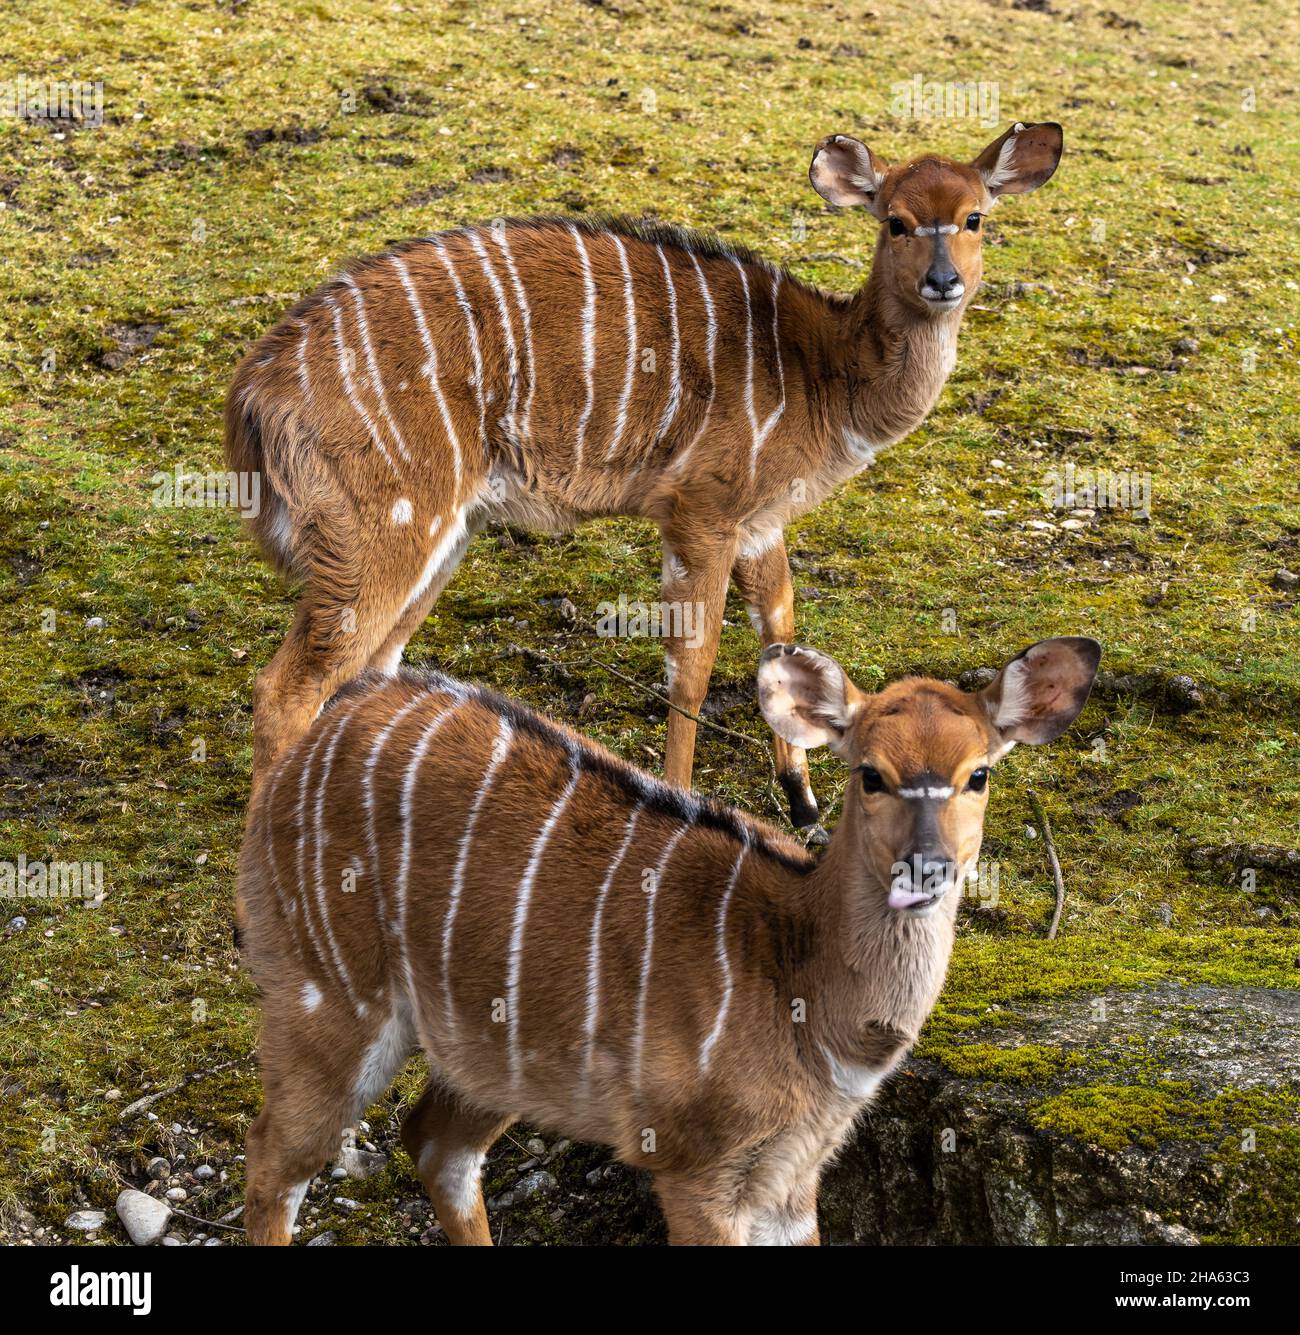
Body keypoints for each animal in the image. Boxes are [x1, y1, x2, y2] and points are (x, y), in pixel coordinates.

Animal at [225, 122, 1064, 827]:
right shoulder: (700, 510)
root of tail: (259, 387)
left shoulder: (759, 523)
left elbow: (779, 635)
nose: (943, 281)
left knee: (373, 666)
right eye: (895, 220)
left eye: (974, 217)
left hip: (441, 531)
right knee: (287, 686)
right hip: (385, 526)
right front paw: (685, 793)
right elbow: (692, 667)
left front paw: (802, 801)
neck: (823, 371)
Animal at [237, 634, 1099, 1245]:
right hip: (326, 995)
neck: (803, 988)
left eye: (979, 772)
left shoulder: (793, 1176)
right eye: (871, 773)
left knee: (434, 1146)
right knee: (273, 1159)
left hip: (489, 1053)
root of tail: (329, 723)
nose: (928, 865)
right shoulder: (693, 1164)